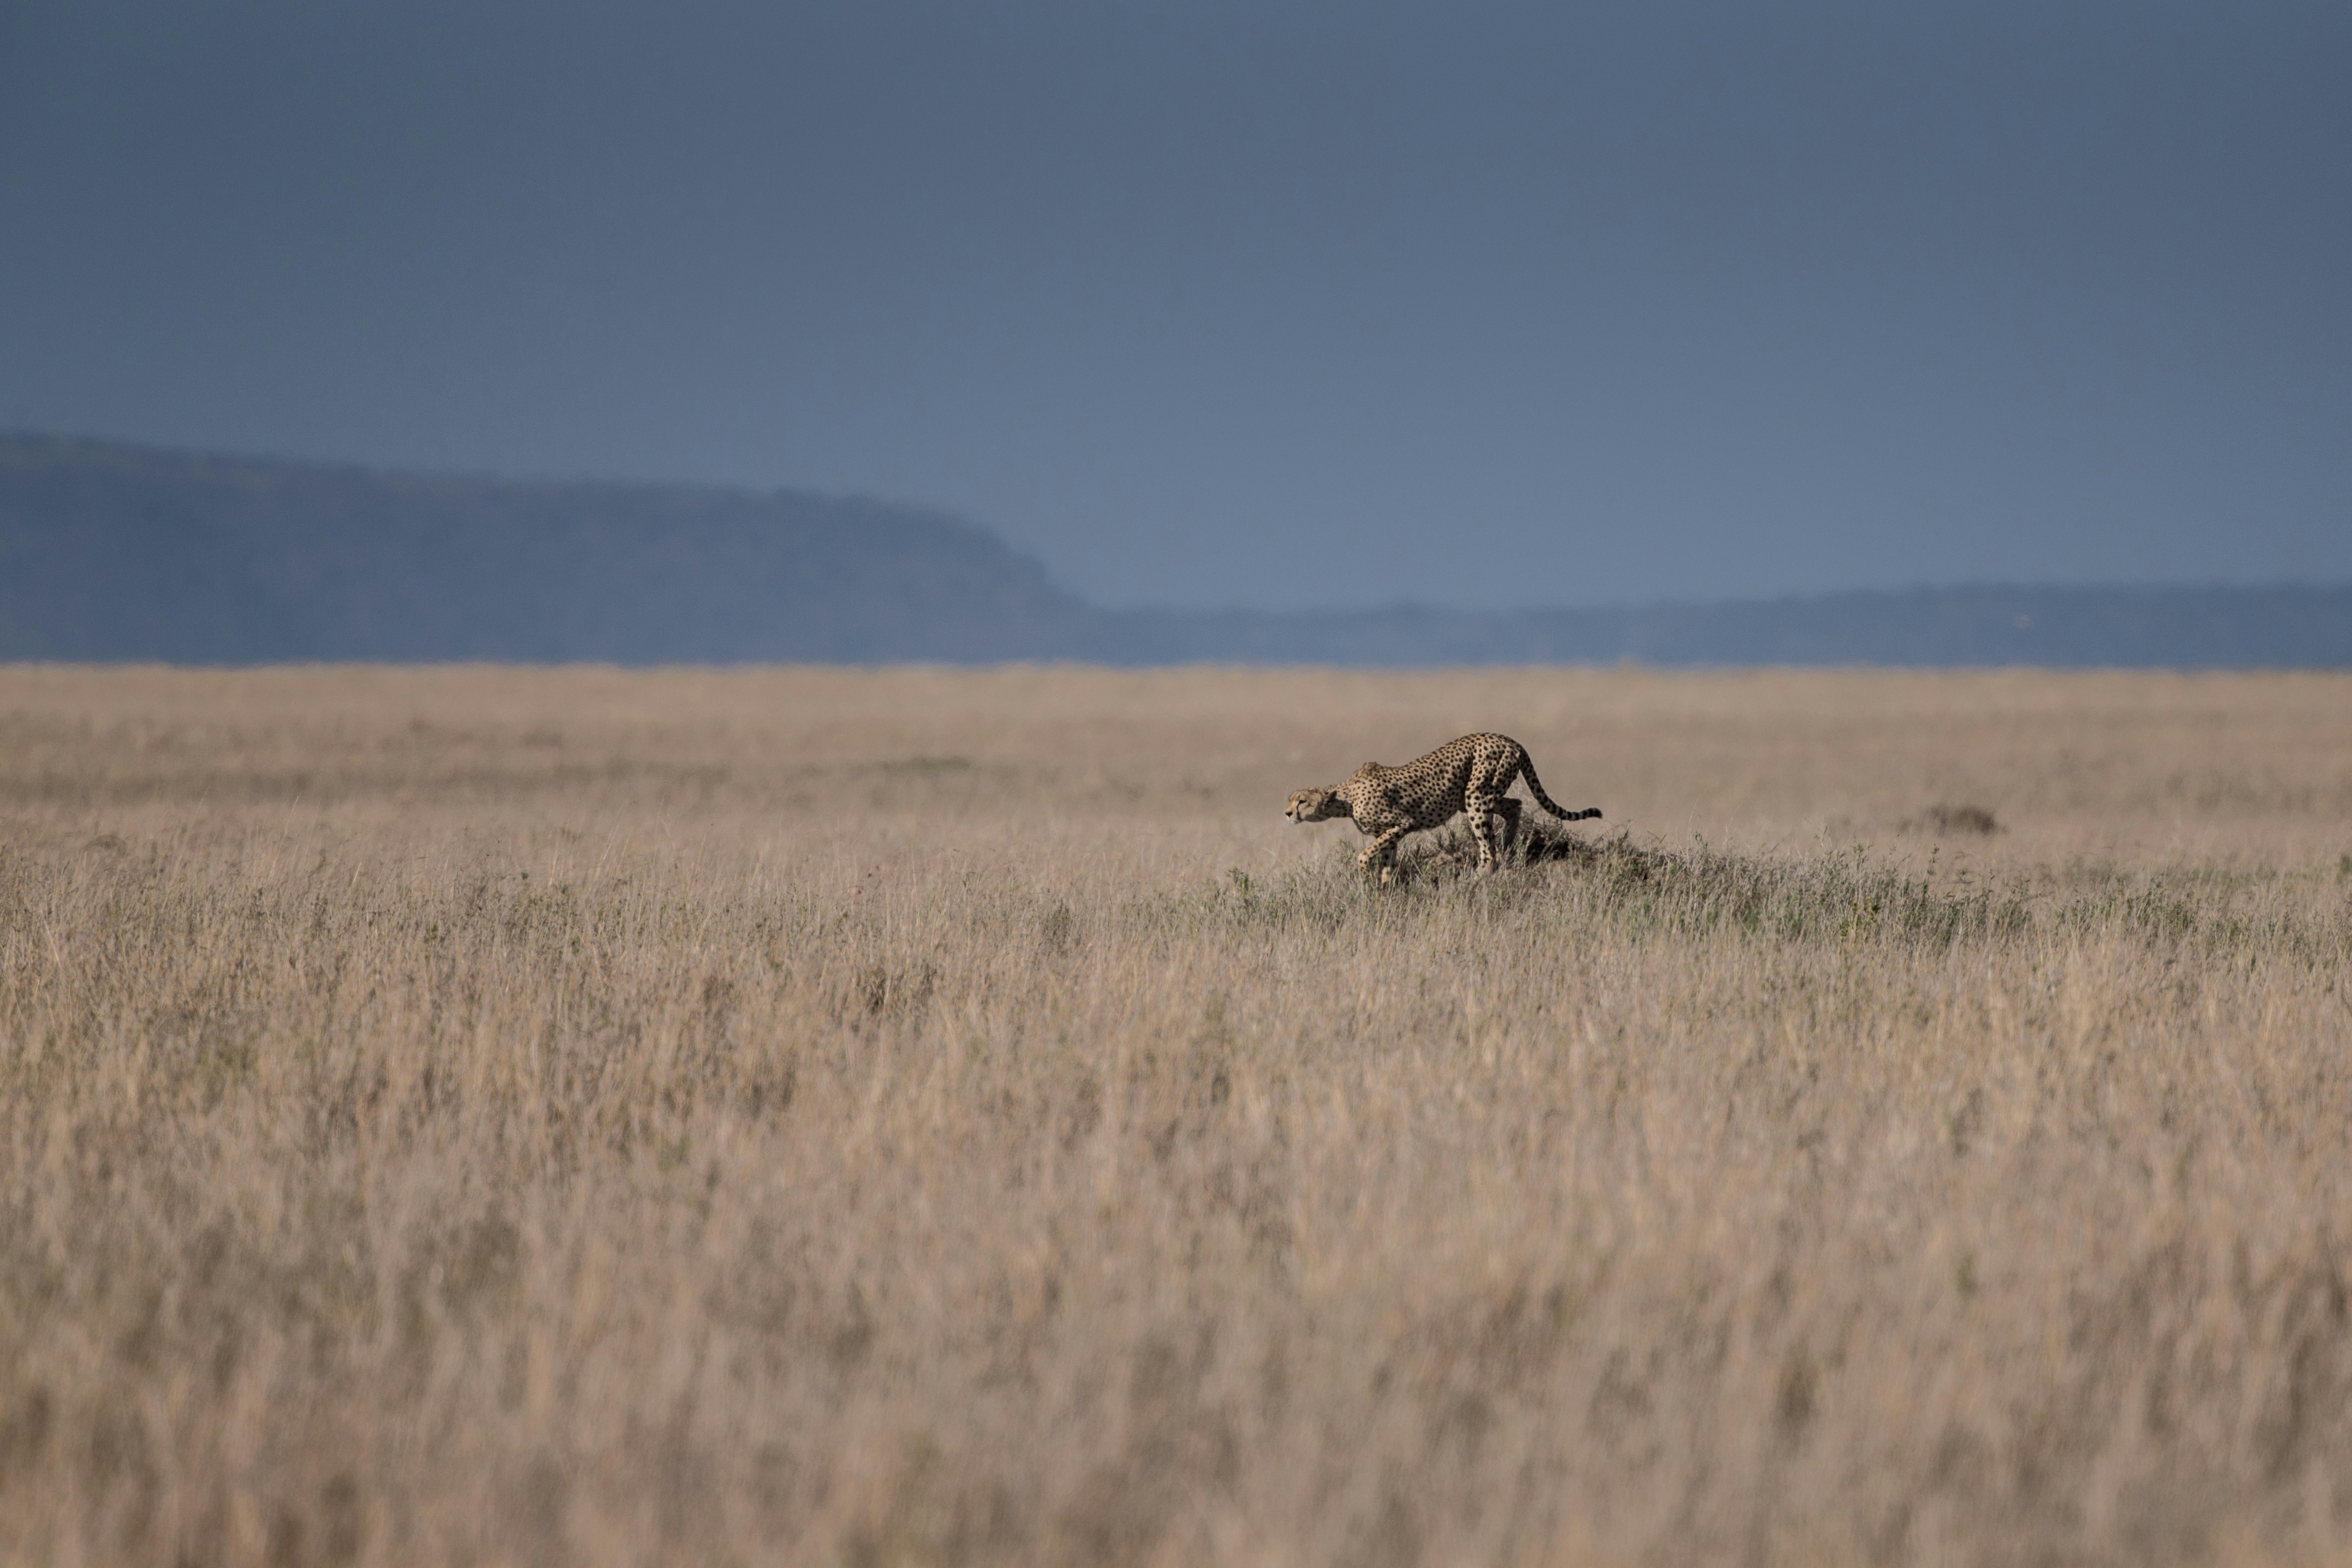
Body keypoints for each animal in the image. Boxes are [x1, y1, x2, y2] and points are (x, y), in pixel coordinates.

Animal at [1285, 732, 1601, 882]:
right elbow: (1387, 861)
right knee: (1515, 805)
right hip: (1476, 796)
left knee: (1489, 850)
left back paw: (1478, 875)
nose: (1288, 814)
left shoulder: (1401, 823)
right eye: (1290, 799)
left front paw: (1367, 877)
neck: (1346, 797)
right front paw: (1385, 889)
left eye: (1302, 801)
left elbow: (1365, 855)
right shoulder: (1390, 833)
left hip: (1476, 797)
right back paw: (1510, 844)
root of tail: (1509, 739)